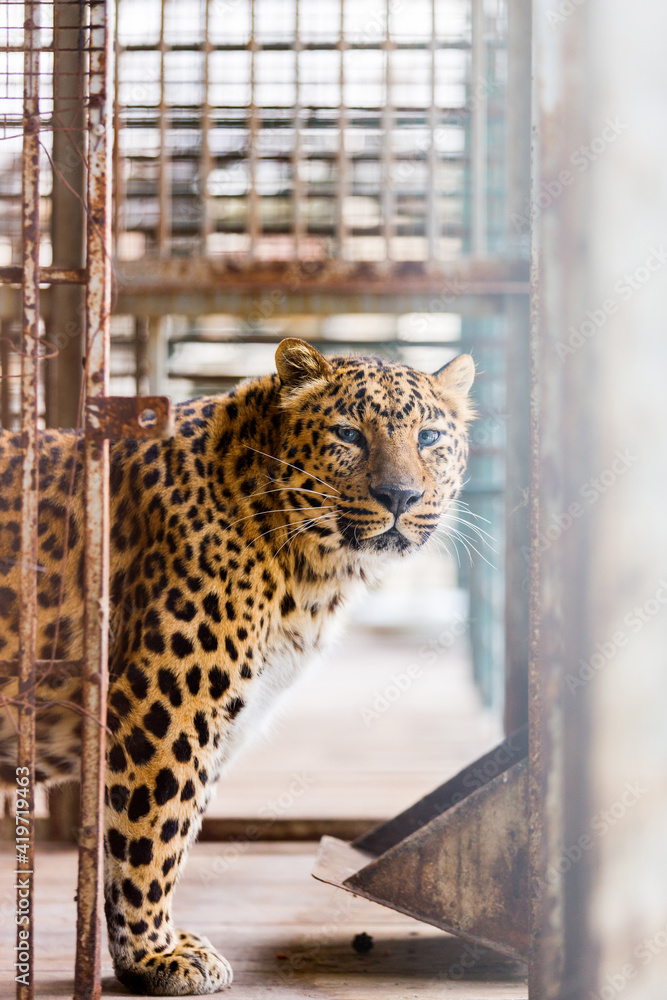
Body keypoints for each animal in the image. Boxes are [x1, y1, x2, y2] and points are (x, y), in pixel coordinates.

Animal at [0, 338, 475, 995]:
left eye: (429, 437)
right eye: (348, 433)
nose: (401, 497)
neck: (311, 573)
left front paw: (145, 953)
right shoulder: (166, 705)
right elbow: (154, 832)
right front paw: (155, 956)